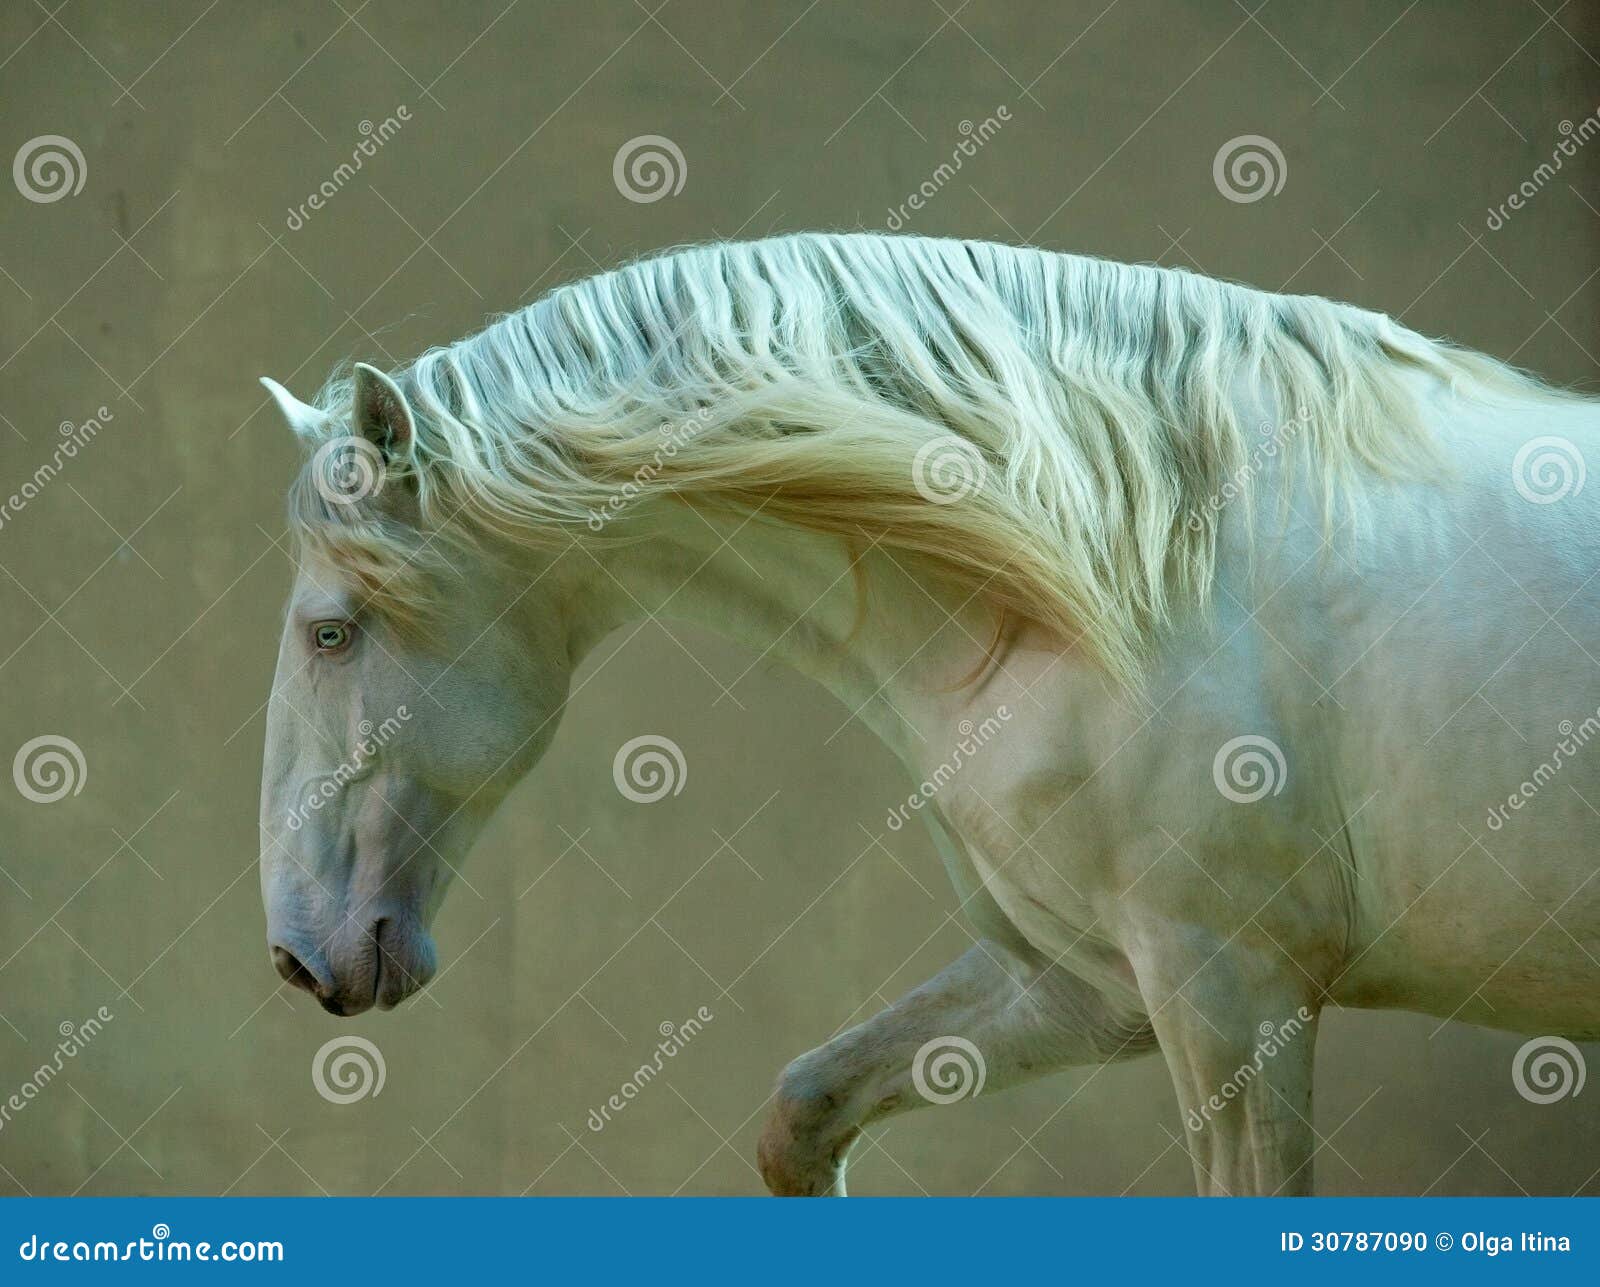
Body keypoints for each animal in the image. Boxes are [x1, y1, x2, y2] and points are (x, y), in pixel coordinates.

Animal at [257, 232, 1600, 1196]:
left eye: (330, 631)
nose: (295, 955)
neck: (1121, 567)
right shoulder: (1088, 987)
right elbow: (802, 1114)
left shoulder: (1232, 992)